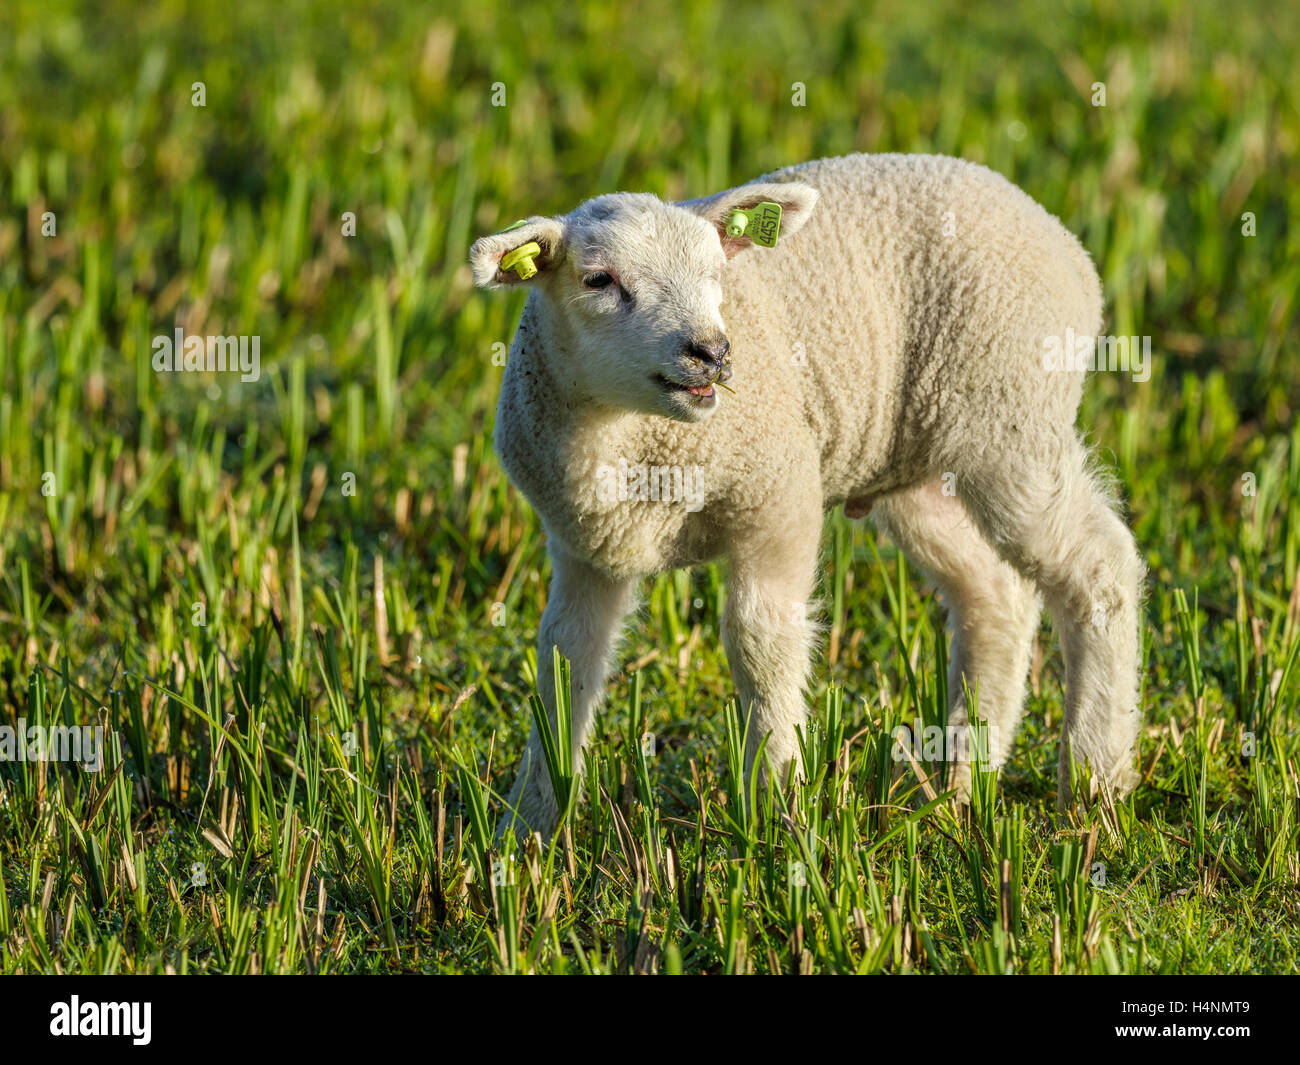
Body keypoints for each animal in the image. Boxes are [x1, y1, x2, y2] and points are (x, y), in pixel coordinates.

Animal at [469, 152, 1145, 838]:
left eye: (717, 272)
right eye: (598, 280)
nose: (712, 353)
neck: (629, 440)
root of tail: (1061, 239)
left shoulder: (778, 497)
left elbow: (759, 643)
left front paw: (776, 809)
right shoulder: (584, 547)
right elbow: (565, 662)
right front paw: (529, 827)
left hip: (1011, 415)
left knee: (1099, 566)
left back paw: (1095, 779)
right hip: (922, 464)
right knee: (993, 594)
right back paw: (961, 782)